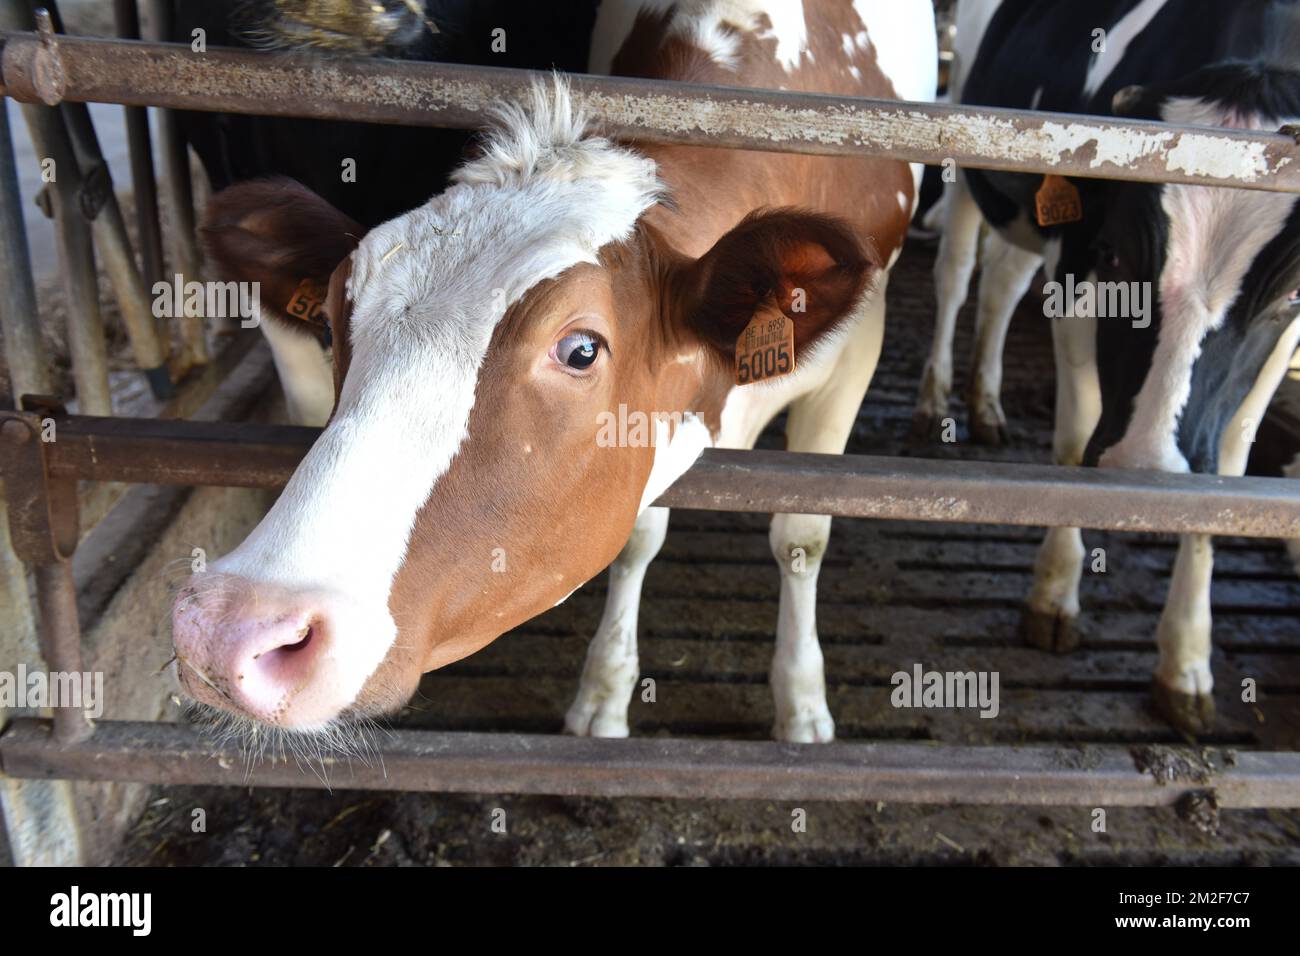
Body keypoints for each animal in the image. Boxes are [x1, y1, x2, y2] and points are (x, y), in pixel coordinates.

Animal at [914, 0, 1300, 734]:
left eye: (1289, 295)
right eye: (1117, 255)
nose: (1142, 475)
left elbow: (1230, 473)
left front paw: (1186, 662)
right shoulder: (1076, 263)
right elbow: (1073, 444)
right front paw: (1052, 597)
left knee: (1003, 282)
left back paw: (986, 404)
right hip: (970, 161)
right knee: (955, 274)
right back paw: (936, 398)